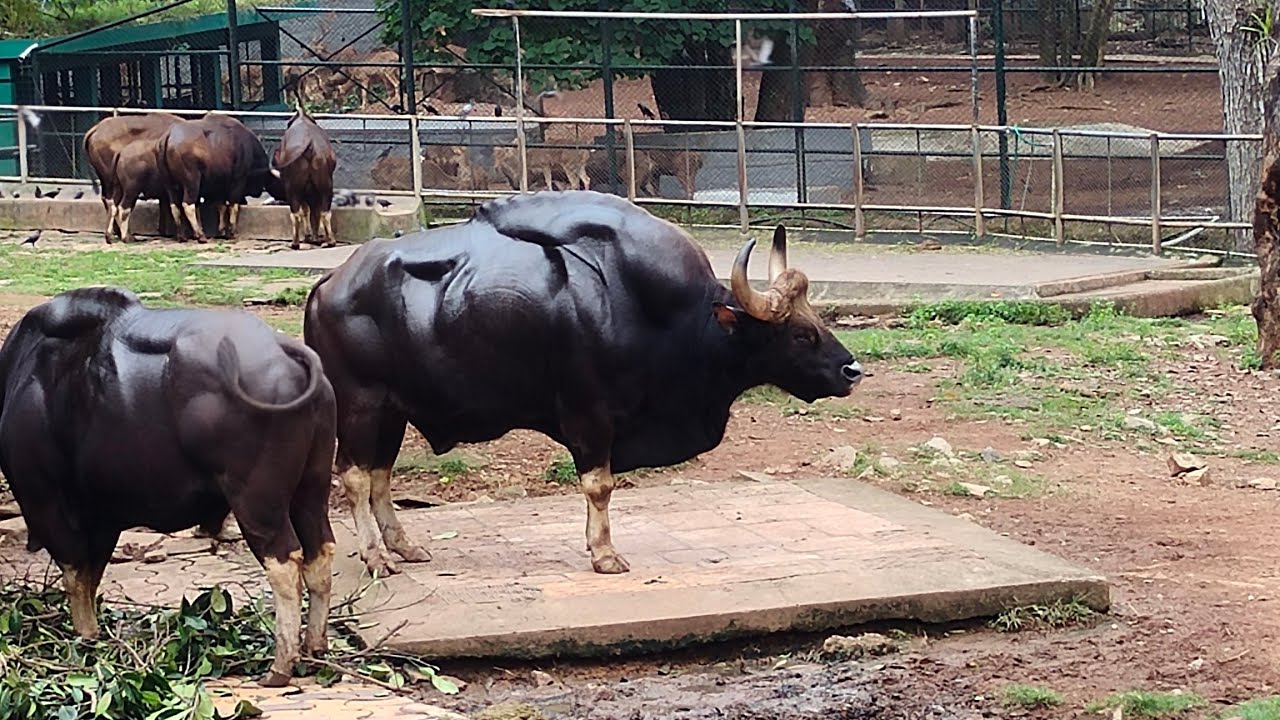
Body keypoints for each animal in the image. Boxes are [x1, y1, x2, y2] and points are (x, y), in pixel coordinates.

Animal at [0, 287, 337, 686]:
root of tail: (285, 350)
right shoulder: (103, 516)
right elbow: (89, 576)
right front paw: (92, 638)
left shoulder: (45, 500)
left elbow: (75, 575)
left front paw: (84, 639)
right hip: (311, 490)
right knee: (320, 553)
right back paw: (314, 648)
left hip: (257, 502)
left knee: (285, 564)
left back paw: (279, 666)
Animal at [304, 191, 863, 576]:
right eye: (800, 333)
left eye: (816, 319)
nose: (851, 370)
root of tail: (328, 284)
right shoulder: (590, 416)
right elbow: (600, 484)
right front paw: (604, 553)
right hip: (360, 403)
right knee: (354, 477)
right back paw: (376, 557)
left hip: (393, 411)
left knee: (380, 475)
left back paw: (404, 546)